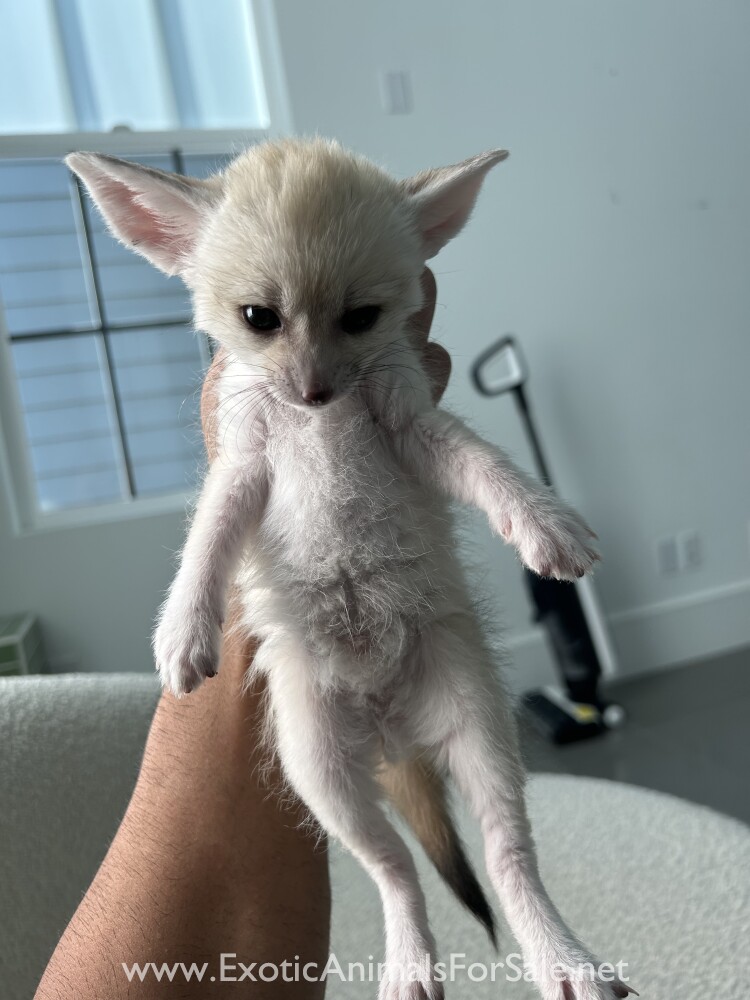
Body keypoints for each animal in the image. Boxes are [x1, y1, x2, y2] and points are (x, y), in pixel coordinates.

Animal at [67, 139, 633, 1000]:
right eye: (259, 319)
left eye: (360, 317)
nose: (313, 393)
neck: (322, 426)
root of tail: (393, 733)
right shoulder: (241, 468)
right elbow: (205, 544)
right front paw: (185, 626)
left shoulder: (410, 418)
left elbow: (490, 466)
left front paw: (546, 522)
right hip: (319, 765)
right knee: (396, 868)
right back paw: (410, 963)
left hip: (477, 729)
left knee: (507, 858)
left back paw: (563, 961)